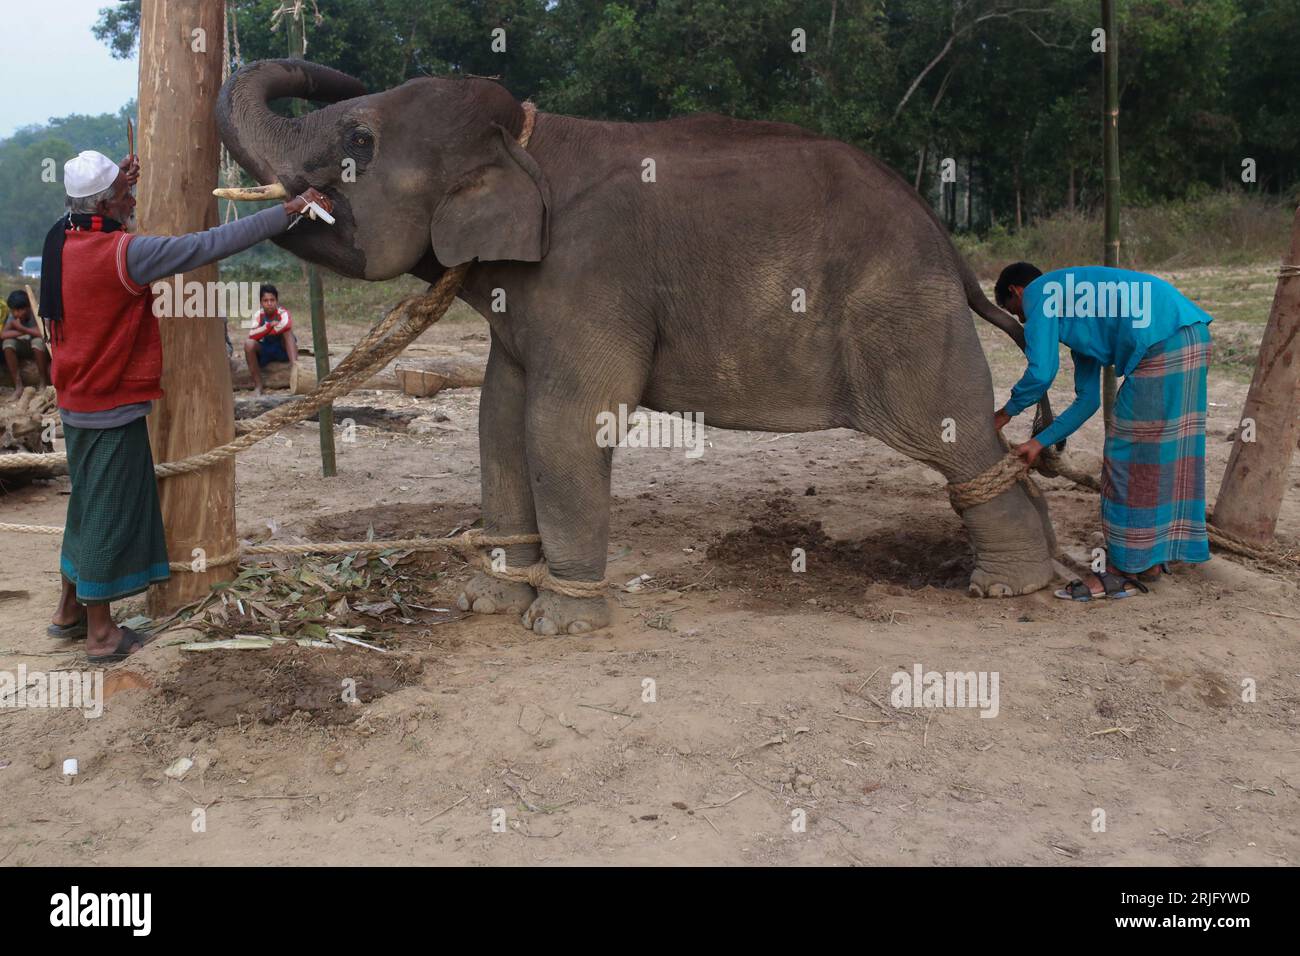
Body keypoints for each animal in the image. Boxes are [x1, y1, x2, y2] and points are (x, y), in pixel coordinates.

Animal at [216, 59, 1058, 636]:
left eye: (360, 139)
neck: (531, 136)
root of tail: (942, 234)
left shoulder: (593, 270)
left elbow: (565, 423)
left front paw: (555, 624)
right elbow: (499, 420)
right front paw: (487, 600)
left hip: (902, 314)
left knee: (955, 436)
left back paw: (1005, 587)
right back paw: (1038, 568)